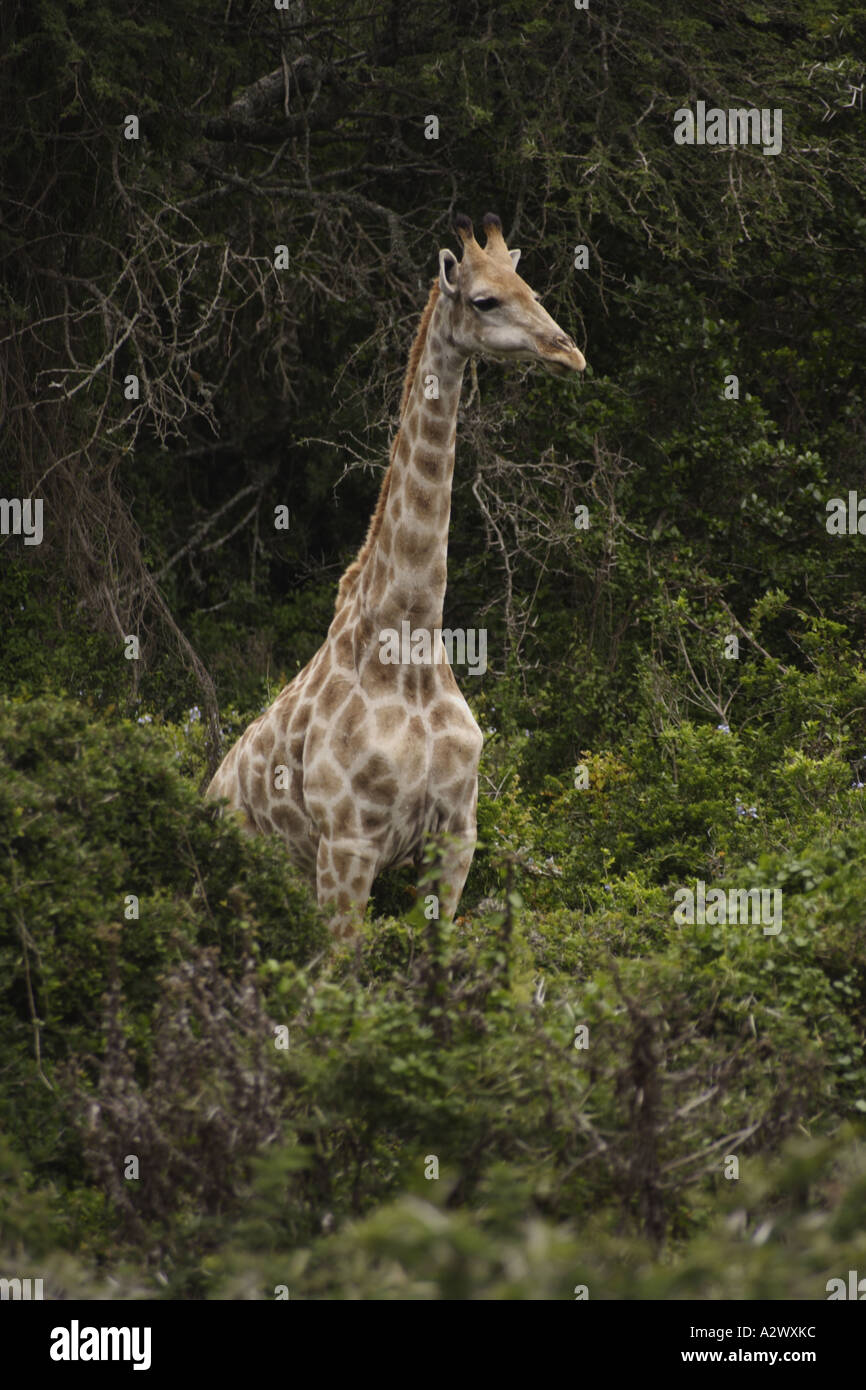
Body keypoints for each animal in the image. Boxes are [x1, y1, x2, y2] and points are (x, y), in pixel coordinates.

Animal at [207, 213, 586, 938]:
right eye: (484, 300)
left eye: (530, 286)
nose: (568, 353)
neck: (406, 636)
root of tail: (208, 788)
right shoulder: (349, 840)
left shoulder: (455, 835)